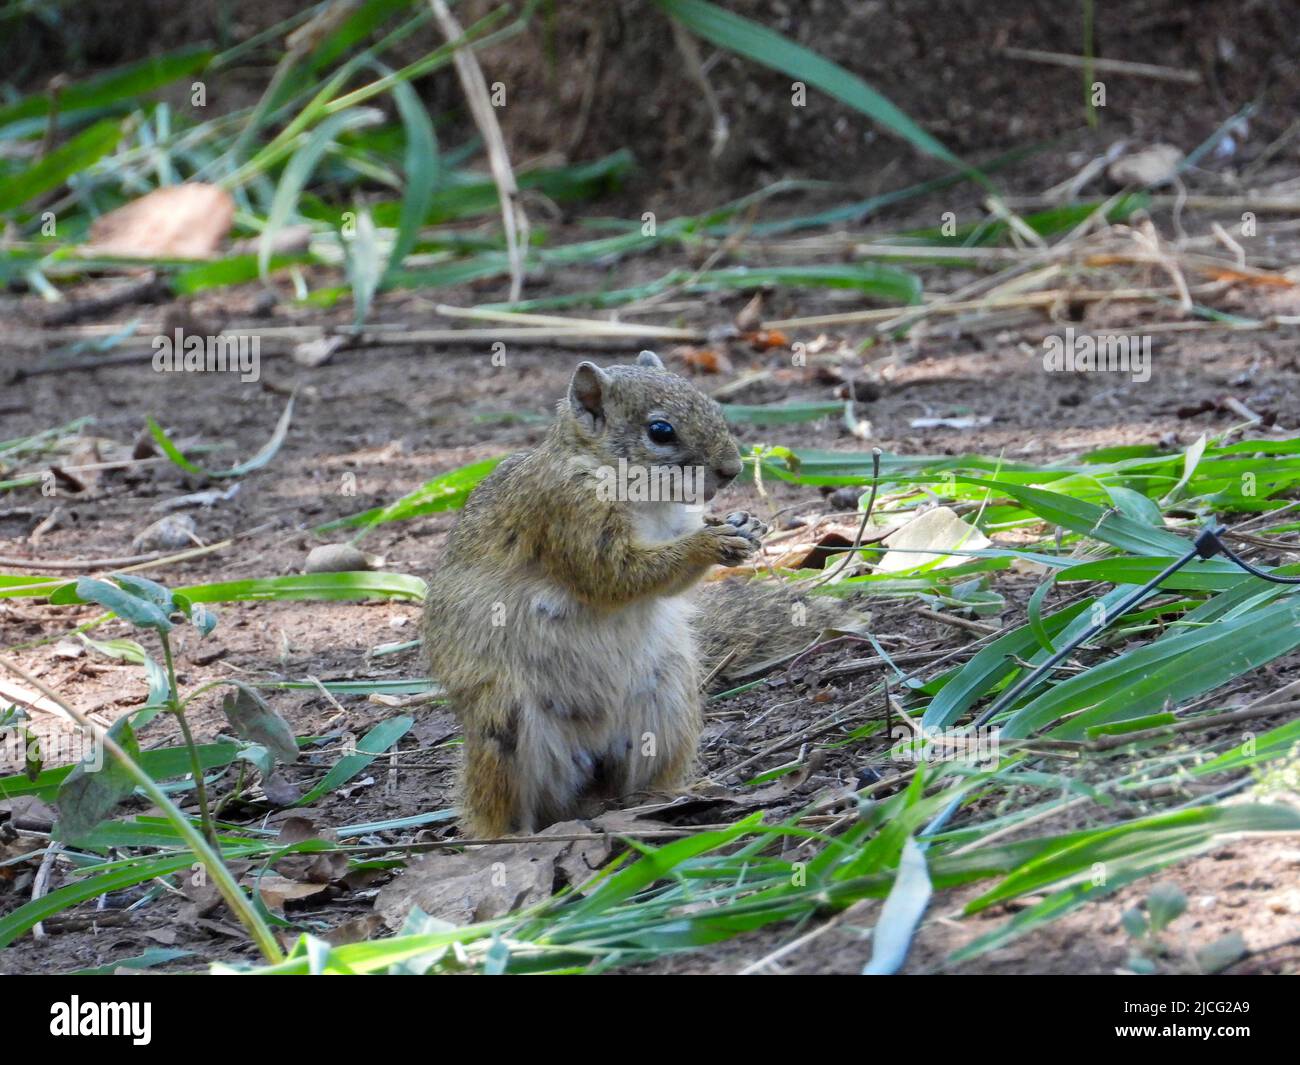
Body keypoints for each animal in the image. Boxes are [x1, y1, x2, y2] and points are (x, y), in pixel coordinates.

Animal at [422, 350, 853, 837]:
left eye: (714, 405)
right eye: (660, 431)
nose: (732, 471)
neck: (643, 495)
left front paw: (743, 524)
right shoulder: (567, 513)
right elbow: (612, 575)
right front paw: (708, 543)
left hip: (668, 702)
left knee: (639, 781)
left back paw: (673, 795)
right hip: (506, 725)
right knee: (503, 804)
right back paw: (510, 836)